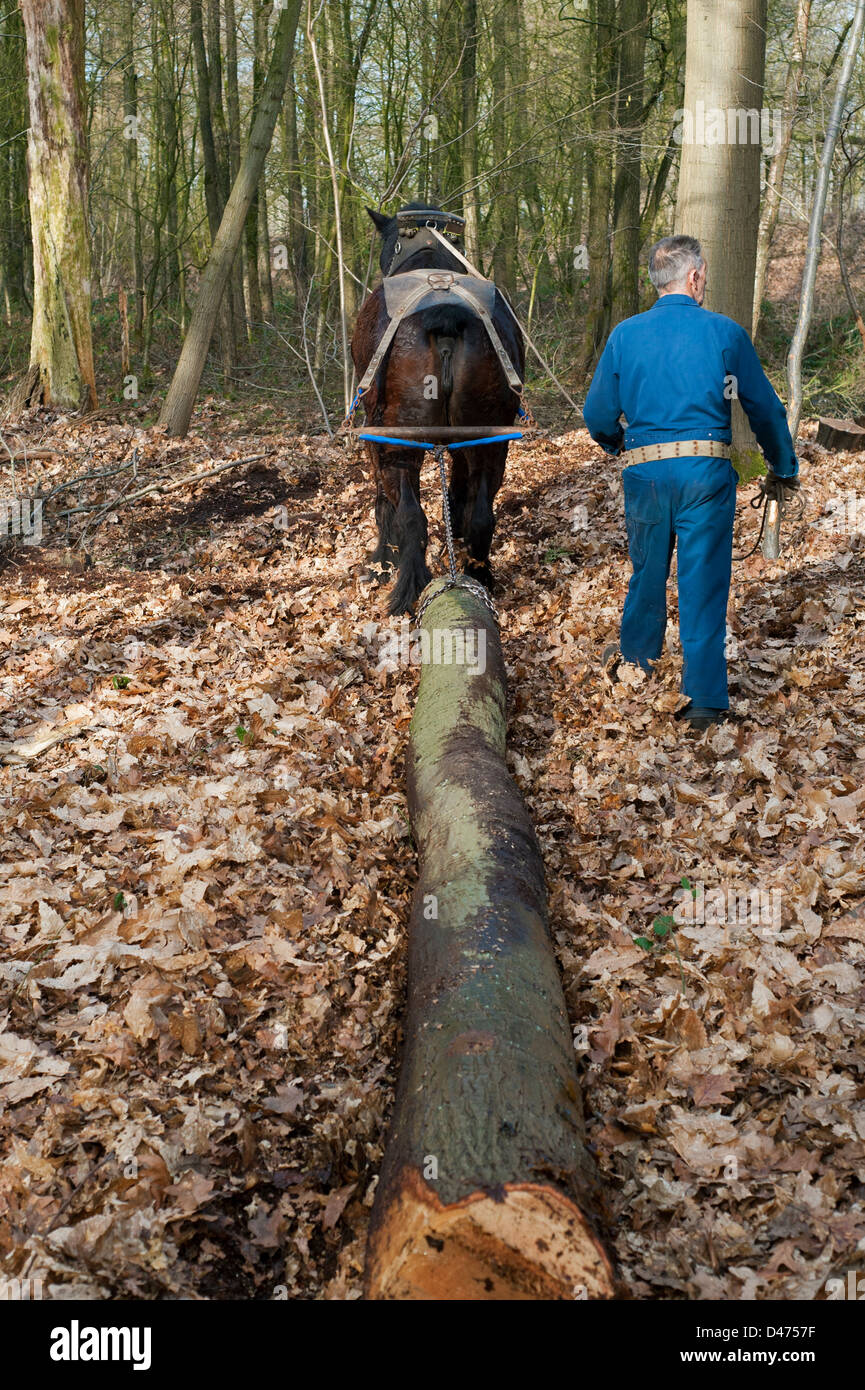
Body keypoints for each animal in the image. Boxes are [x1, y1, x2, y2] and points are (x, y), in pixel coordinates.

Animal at [350, 201, 525, 616]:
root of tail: (445, 313)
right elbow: (460, 497)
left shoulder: (374, 435)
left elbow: (385, 504)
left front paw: (381, 559)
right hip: (489, 441)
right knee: (482, 515)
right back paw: (478, 576)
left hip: (399, 443)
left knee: (412, 516)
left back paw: (407, 588)